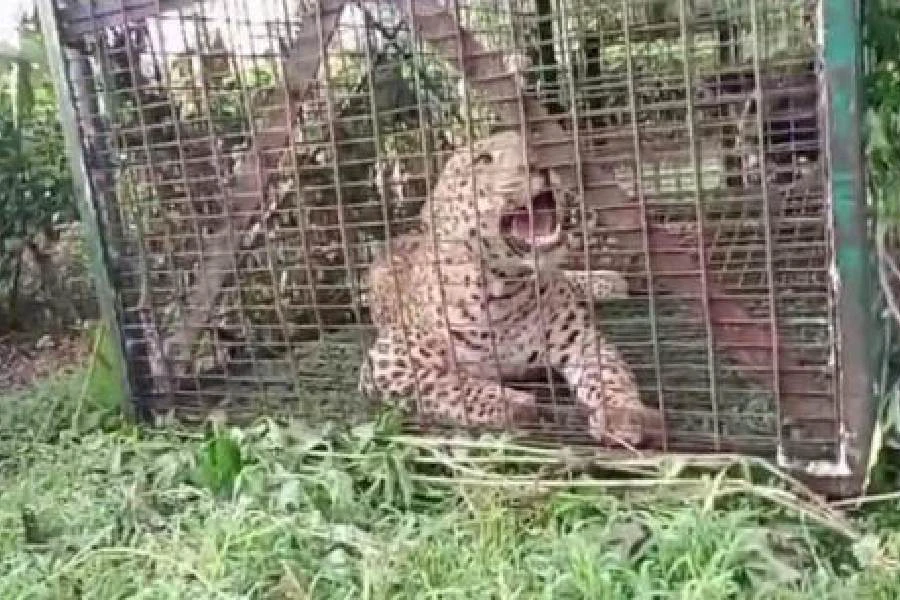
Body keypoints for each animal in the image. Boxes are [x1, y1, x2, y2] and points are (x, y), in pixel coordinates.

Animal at [358, 130, 661, 446]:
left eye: (532, 144)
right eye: (482, 159)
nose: (539, 163)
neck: (505, 292)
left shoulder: (583, 341)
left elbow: (607, 372)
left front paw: (622, 413)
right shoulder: (387, 363)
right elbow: (445, 386)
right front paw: (514, 404)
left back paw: (611, 280)